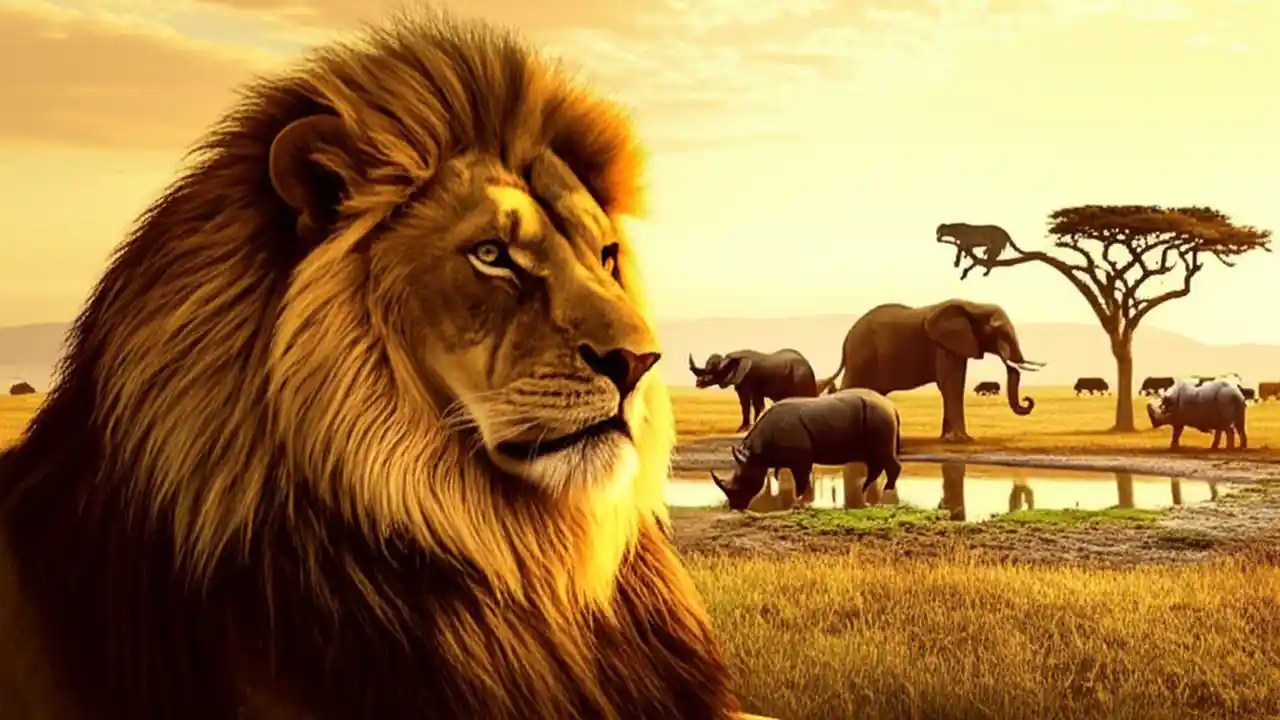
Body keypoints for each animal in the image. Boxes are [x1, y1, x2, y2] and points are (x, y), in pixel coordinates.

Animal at [688, 348, 818, 432]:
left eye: (715, 371)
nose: (698, 383)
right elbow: (752, 403)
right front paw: (749, 427)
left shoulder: (748, 379)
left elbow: (747, 402)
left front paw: (744, 429)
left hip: (803, 378)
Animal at [710, 388, 902, 511]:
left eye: (741, 480)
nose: (734, 506)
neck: (755, 455)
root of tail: (891, 406)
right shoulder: (789, 459)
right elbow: (795, 480)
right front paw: (802, 502)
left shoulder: (801, 459)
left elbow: (801, 480)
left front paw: (798, 504)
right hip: (875, 415)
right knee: (874, 460)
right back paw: (865, 496)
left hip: (879, 415)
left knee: (882, 456)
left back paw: (884, 497)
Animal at [816, 299, 1044, 443]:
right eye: (999, 332)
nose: (1028, 400)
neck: (973, 305)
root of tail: (846, 339)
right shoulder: (945, 345)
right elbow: (951, 384)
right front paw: (963, 440)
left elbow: (950, 385)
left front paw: (948, 439)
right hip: (862, 358)